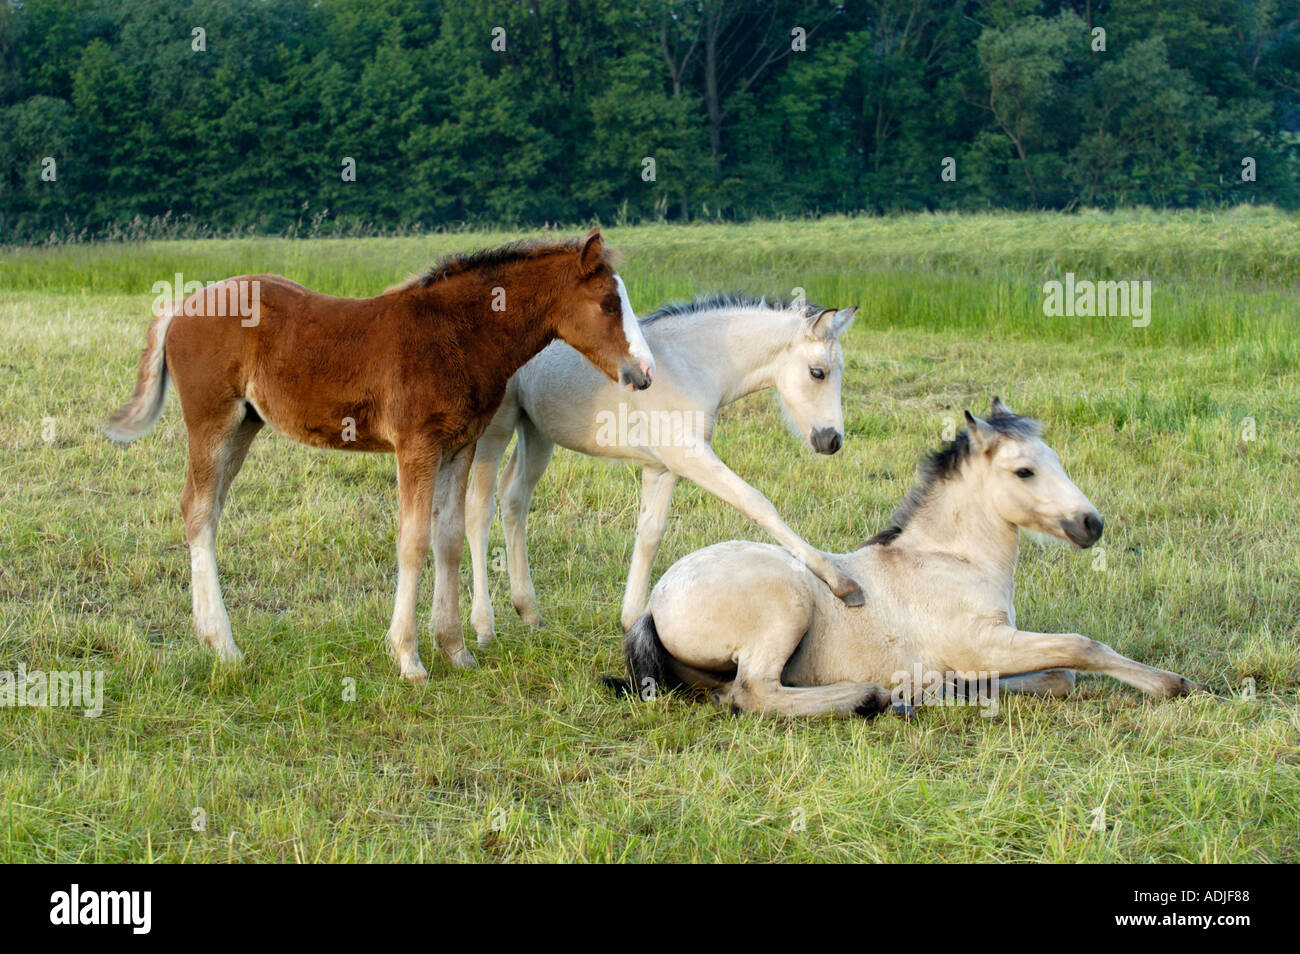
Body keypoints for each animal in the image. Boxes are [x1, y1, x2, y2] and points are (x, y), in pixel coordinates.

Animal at [105, 228, 656, 682]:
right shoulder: (416, 446)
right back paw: (225, 646)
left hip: (244, 424)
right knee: (198, 510)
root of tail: (179, 306)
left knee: (208, 511)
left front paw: (455, 649)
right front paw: (408, 658)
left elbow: (449, 538)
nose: (645, 373)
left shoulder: (460, 446)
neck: (458, 334)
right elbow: (412, 542)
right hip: (212, 421)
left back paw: (210, 638)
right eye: (609, 304)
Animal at [464, 294, 864, 645]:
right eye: (818, 372)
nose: (832, 440)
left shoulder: (663, 467)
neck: (692, 364)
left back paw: (528, 611)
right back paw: (483, 627)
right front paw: (841, 583)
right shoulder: (689, 455)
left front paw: (632, 620)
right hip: (496, 428)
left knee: (514, 496)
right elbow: (755, 502)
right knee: (479, 510)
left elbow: (650, 534)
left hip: (536, 430)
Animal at [618, 398, 1209, 717]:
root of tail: (656, 600)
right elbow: (1081, 647)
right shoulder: (983, 643)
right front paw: (1174, 684)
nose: (1091, 524)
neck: (951, 561)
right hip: (787, 608)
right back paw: (868, 698)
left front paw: (936, 689)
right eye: (1023, 471)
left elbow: (1057, 676)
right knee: (752, 693)